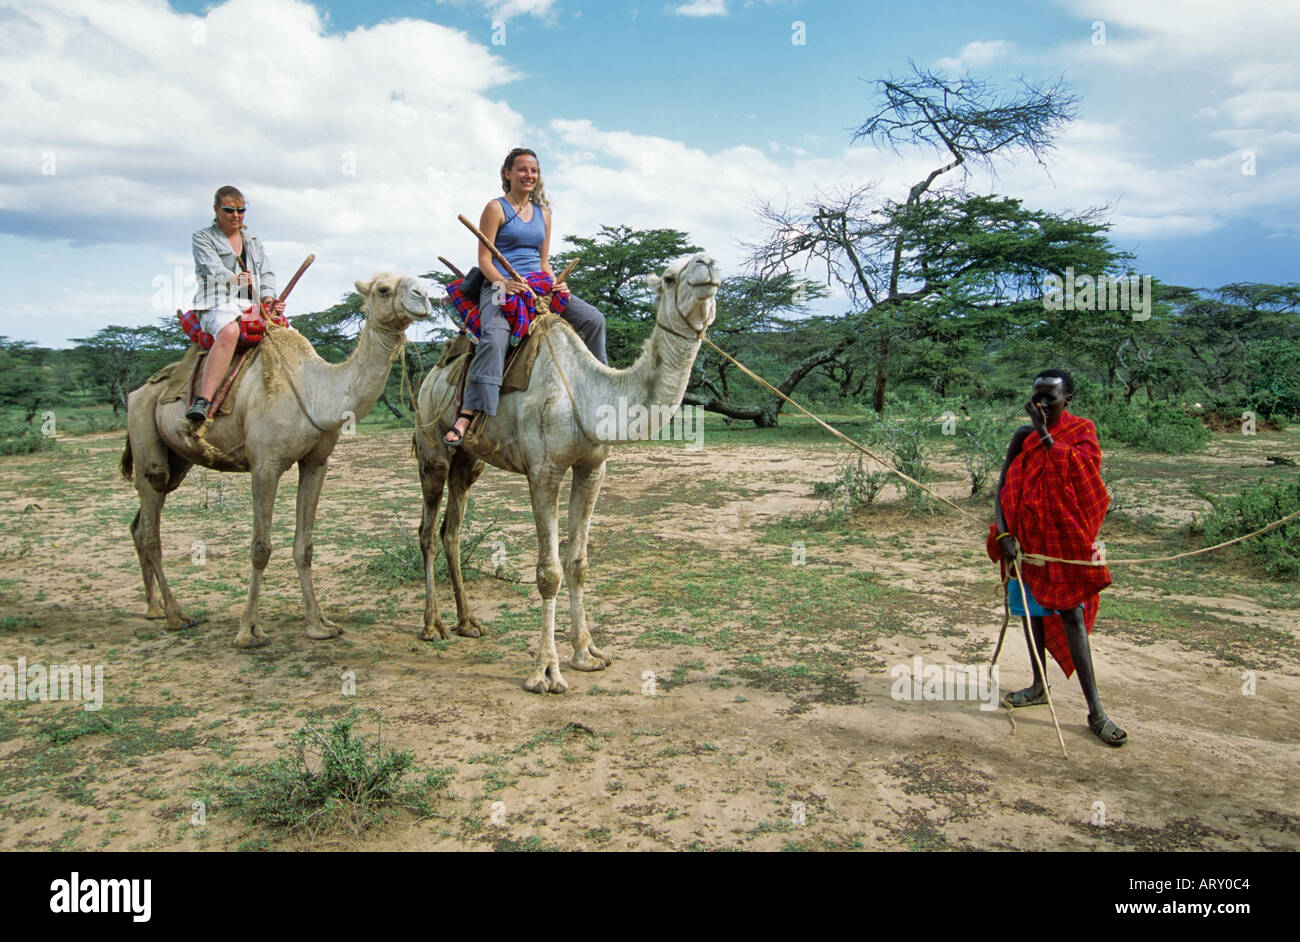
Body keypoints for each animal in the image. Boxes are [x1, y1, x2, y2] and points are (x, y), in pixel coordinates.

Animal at [121, 272, 433, 648]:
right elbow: (260, 548)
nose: (425, 297)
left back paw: (153, 607)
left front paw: (319, 624)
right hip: (143, 428)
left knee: (141, 521)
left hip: (179, 458)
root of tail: (140, 390)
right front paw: (248, 631)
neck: (316, 393)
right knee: (151, 523)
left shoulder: (316, 463)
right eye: (384, 290)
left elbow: (305, 546)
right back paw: (175, 615)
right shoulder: (265, 465)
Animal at [414, 253, 720, 693]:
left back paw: (468, 622)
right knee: (427, 529)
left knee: (450, 530)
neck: (587, 393)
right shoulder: (544, 472)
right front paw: (545, 671)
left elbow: (578, 564)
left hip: (469, 462)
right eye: (668, 277)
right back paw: (433, 626)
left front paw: (586, 653)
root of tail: (433, 374)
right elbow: (549, 573)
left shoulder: (591, 470)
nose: (707, 262)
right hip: (432, 445)